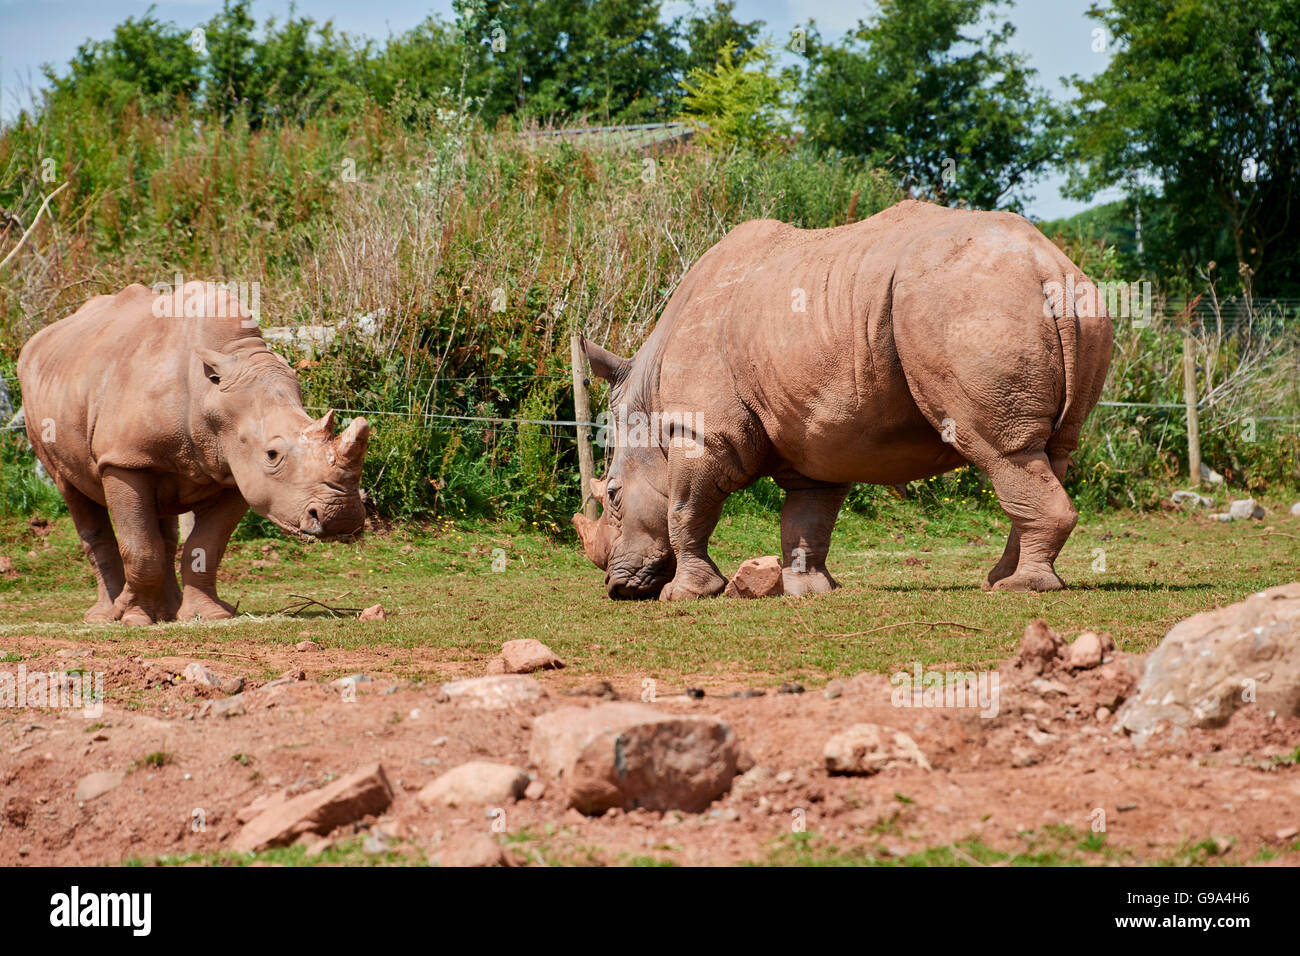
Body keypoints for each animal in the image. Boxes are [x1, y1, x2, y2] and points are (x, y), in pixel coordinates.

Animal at [17, 282, 369, 625]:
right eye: (272, 454)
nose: (342, 517)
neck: (212, 395)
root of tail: (37, 340)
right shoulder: (123, 460)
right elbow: (140, 547)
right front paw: (132, 617)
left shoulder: (237, 472)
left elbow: (205, 548)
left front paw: (210, 615)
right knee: (74, 493)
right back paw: (104, 617)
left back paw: (166, 612)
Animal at [573, 200, 1113, 600]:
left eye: (614, 495)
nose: (618, 589)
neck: (649, 398)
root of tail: (1047, 265)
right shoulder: (812, 432)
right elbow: (807, 515)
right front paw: (809, 591)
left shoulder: (702, 430)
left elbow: (686, 510)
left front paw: (686, 595)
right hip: (1076, 306)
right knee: (1050, 451)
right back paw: (1001, 579)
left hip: (970, 306)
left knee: (1000, 451)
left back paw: (1023, 587)